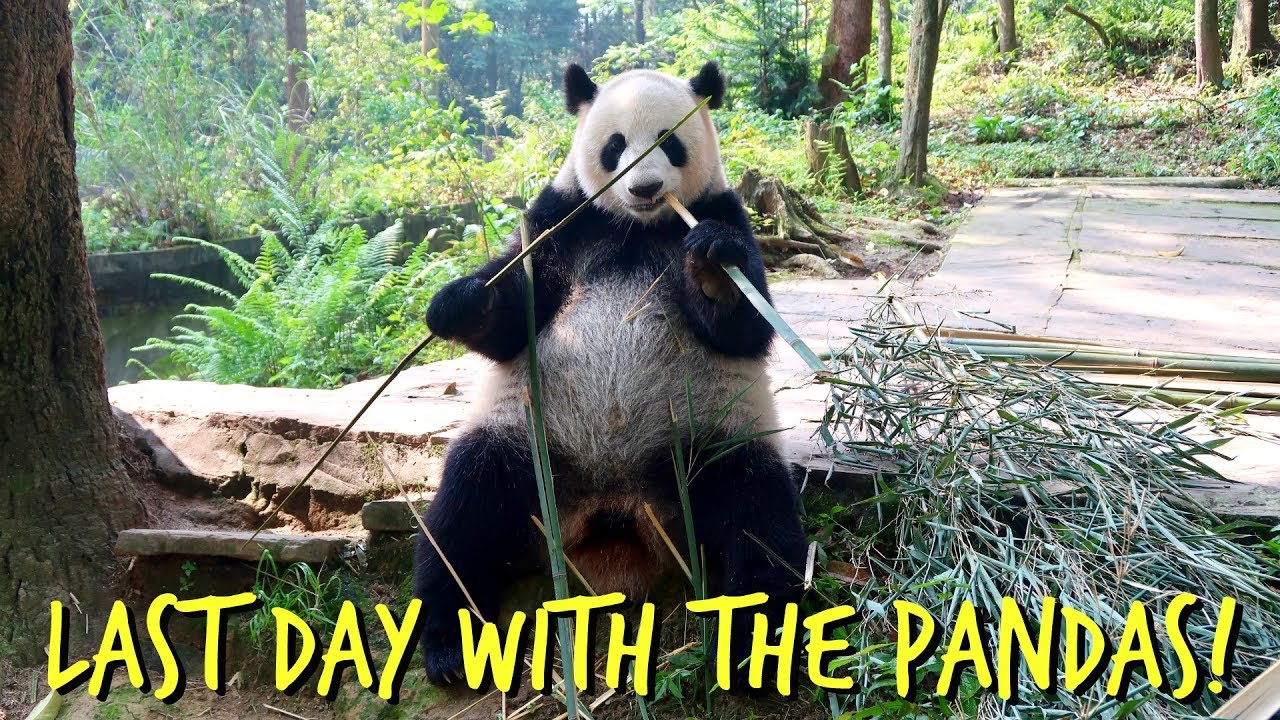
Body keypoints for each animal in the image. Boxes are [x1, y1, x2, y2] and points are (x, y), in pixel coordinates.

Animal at [414, 61, 808, 686]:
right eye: (615, 145)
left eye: (669, 143)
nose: (644, 189)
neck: (637, 229)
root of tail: (614, 511)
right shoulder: (558, 221)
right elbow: (513, 316)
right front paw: (461, 303)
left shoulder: (724, 210)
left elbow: (745, 327)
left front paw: (711, 264)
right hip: (526, 440)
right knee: (463, 513)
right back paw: (450, 646)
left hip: (712, 437)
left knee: (758, 521)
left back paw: (751, 650)